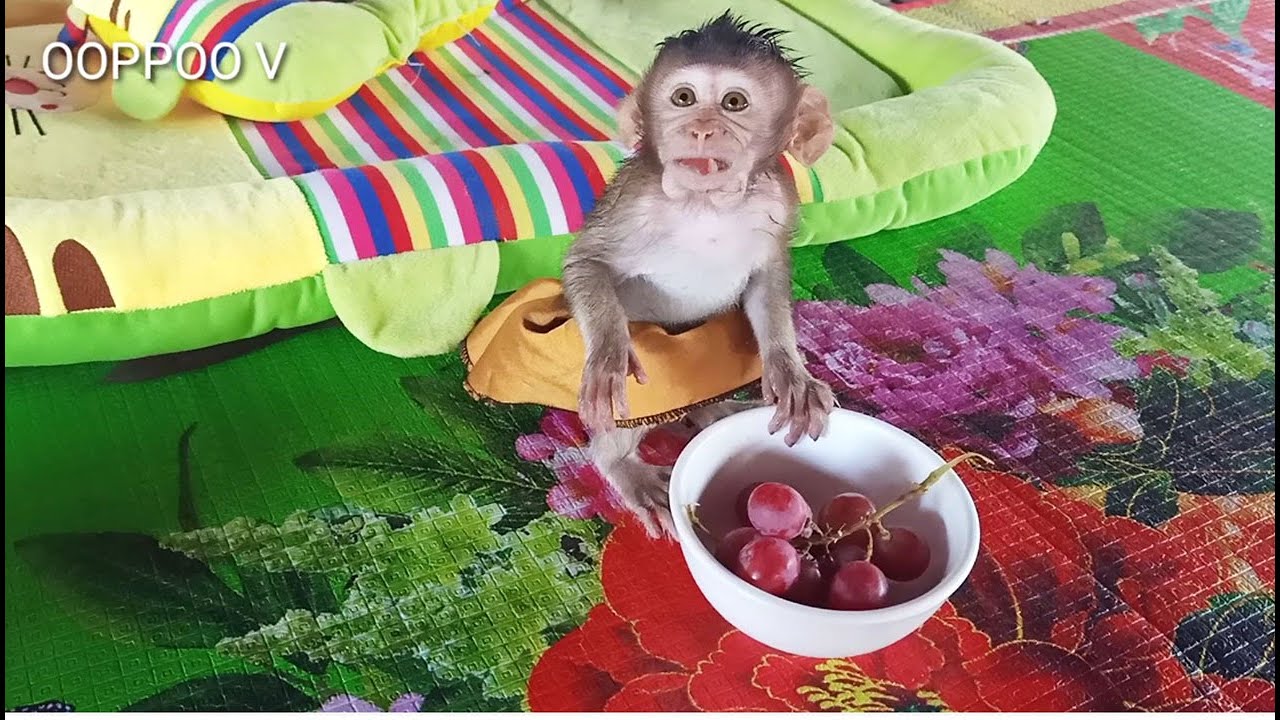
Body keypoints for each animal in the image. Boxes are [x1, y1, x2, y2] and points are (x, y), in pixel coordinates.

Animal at [561, 12, 837, 538]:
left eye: (734, 103)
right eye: (684, 98)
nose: (702, 131)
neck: (704, 205)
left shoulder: (779, 200)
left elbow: (767, 279)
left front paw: (790, 371)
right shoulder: (633, 200)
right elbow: (585, 264)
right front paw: (609, 354)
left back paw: (711, 410)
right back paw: (621, 464)